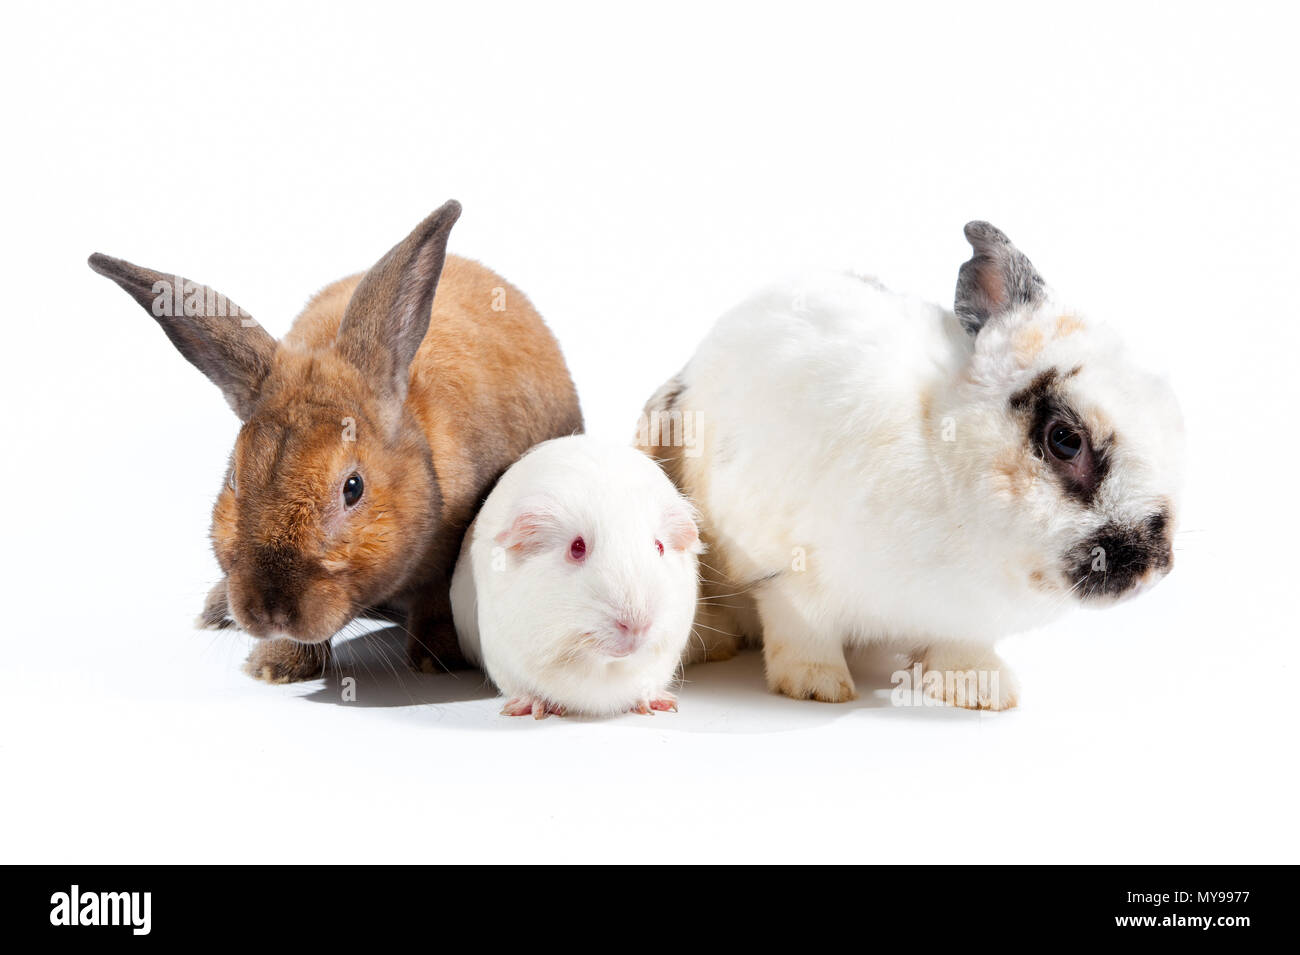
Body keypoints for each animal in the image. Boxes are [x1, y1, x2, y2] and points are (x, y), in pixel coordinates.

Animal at [89, 200, 584, 683]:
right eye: (234, 481)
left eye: (353, 488)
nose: (272, 611)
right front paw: (275, 666)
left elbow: (437, 597)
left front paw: (437, 657)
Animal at [637, 221, 1185, 709]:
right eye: (1066, 440)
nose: (1152, 569)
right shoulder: (787, 574)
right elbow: (803, 630)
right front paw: (818, 686)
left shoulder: (964, 619)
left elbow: (960, 650)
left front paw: (981, 691)